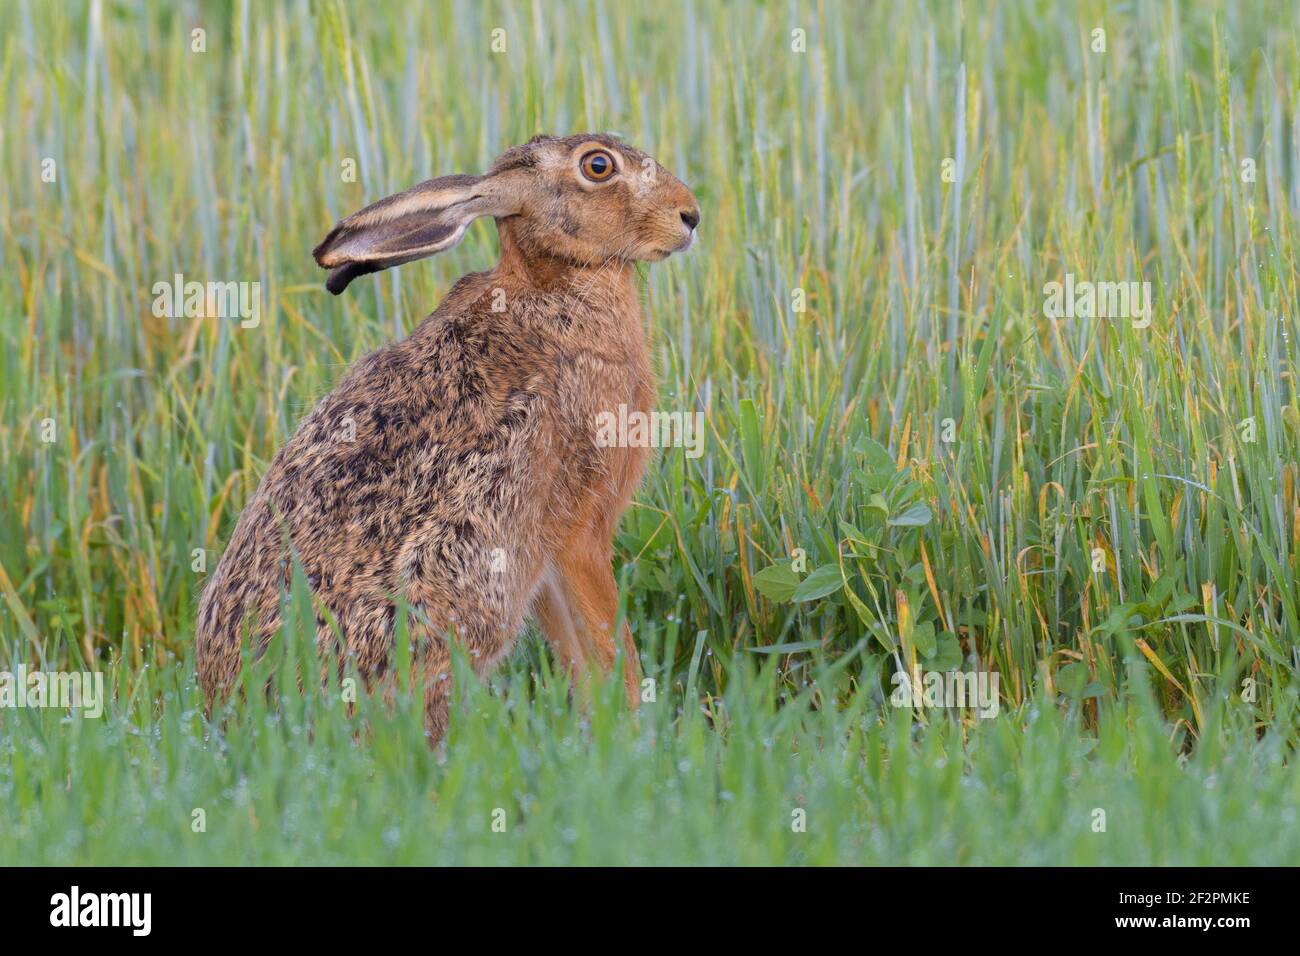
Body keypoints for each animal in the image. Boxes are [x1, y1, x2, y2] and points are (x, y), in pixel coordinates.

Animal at [195, 133, 700, 745]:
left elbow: (576, 651)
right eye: (598, 165)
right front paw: (635, 729)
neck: (552, 287)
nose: (690, 216)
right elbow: (607, 642)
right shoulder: (580, 532)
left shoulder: (545, 561)